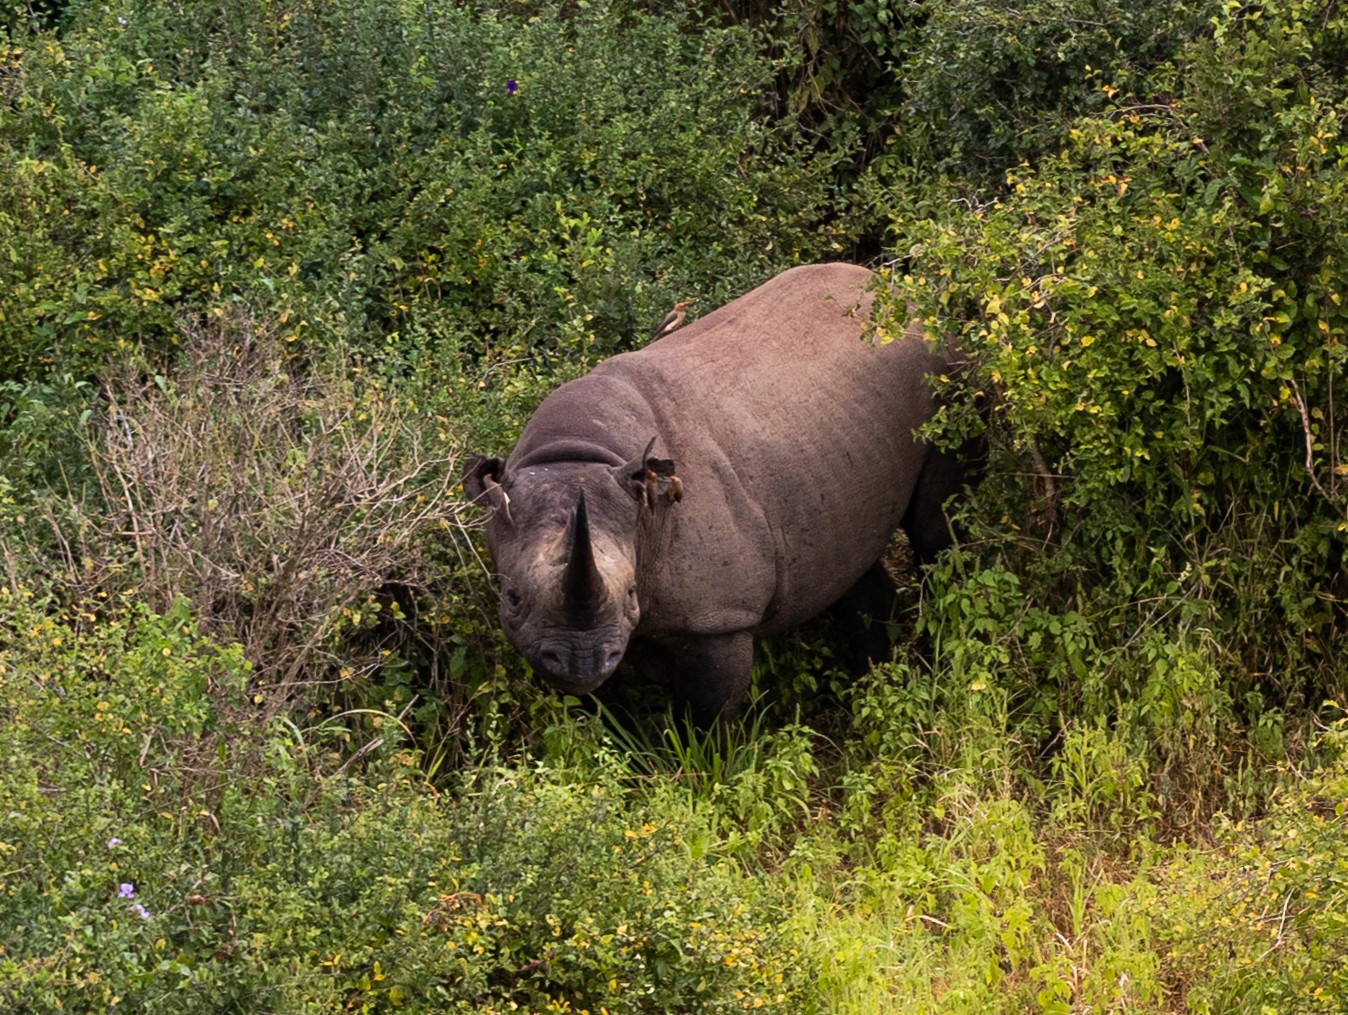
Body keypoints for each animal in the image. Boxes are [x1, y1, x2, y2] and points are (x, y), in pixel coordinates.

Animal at [464, 262, 966, 718]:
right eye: (512, 597)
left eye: (632, 594)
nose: (580, 661)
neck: (579, 454)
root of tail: (903, 294)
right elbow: (603, 713)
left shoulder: (719, 617)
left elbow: (711, 712)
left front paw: (708, 758)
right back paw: (872, 682)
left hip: (946, 369)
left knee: (935, 530)